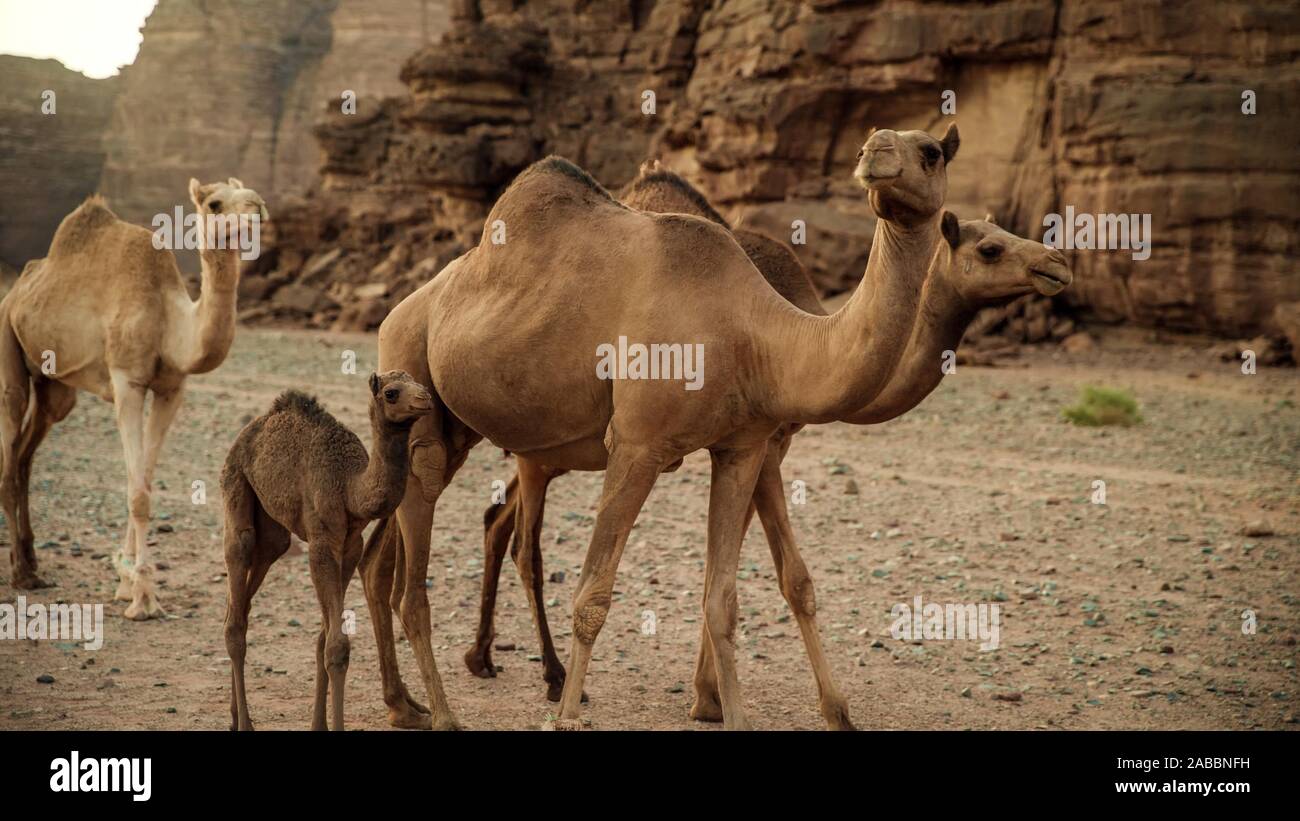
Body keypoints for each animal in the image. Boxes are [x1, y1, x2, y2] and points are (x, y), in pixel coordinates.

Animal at [0, 180, 267, 619]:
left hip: (55, 387)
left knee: (25, 455)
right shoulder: (127, 380)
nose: (259, 208)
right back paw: (21, 574)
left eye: (250, 193)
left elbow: (143, 478)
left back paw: (33, 564)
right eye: (215, 203)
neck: (171, 321)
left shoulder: (171, 389)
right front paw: (143, 599)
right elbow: (137, 492)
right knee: (10, 433)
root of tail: (16, 290)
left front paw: (126, 585)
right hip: (8, 344)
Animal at [220, 371, 434, 731]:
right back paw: (245, 724)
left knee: (248, 595)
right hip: (235, 485)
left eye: (419, 383)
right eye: (391, 393)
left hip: (272, 531)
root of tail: (251, 429)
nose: (427, 400)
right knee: (237, 595)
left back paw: (235, 717)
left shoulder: (350, 545)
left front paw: (318, 724)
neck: (350, 488)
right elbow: (336, 645)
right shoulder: (321, 544)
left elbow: (324, 638)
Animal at [359, 124, 960, 731]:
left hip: (454, 425)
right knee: (413, 585)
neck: (755, 336)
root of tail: (397, 312)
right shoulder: (637, 444)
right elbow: (592, 598)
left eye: (931, 152)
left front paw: (728, 711)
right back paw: (442, 713)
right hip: (412, 378)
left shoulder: (743, 447)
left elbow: (723, 601)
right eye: (868, 145)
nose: (876, 152)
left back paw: (406, 704)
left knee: (386, 557)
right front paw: (567, 714)